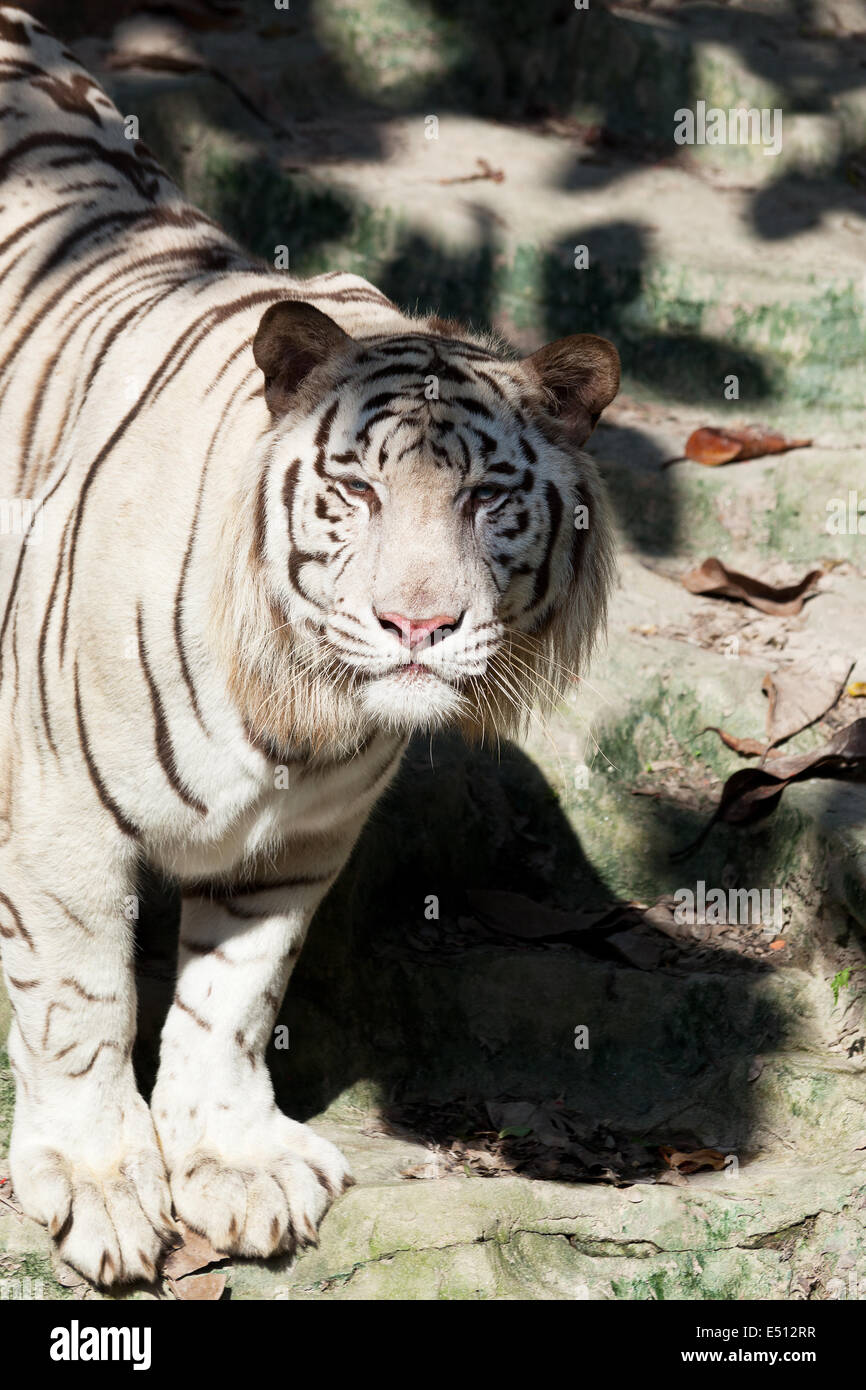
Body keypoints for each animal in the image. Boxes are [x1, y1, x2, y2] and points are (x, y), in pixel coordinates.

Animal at [0, 6, 619, 1287]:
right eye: (358, 493)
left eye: (488, 499)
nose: (417, 625)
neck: (299, 708)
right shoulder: (60, 817)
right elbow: (80, 1003)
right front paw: (100, 1183)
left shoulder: (296, 839)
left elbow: (232, 998)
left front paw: (231, 1162)